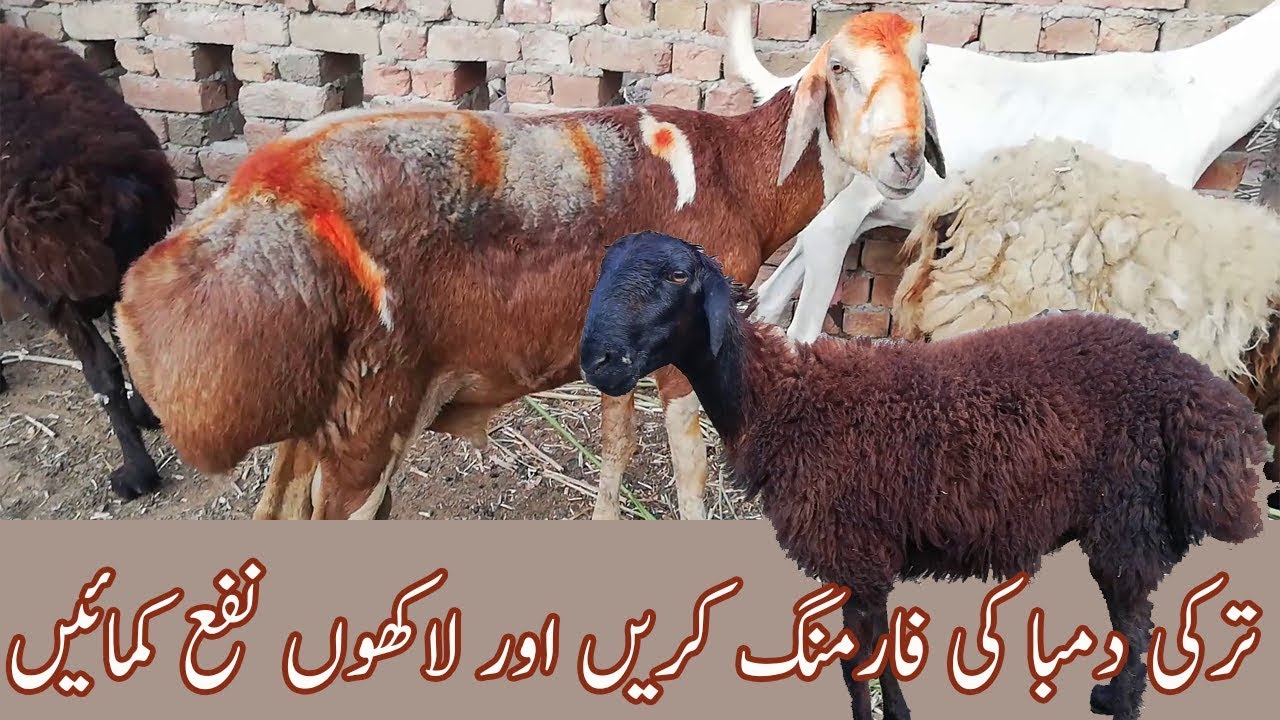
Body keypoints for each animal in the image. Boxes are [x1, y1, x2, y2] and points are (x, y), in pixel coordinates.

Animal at [116, 11, 942, 520]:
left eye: (924, 63)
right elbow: (688, 466)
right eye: (840, 69)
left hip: (316, 420)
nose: (907, 160)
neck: (735, 170)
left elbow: (616, 447)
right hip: (369, 428)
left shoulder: (616, 345)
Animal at [579, 229, 1269, 720]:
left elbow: (863, 664)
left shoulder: (857, 553)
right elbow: (864, 661)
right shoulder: (856, 562)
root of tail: (1199, 388)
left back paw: (1117, 704)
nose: (600, 360)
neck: (779, 399)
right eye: (602, 274)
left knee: (1137, 625)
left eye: (678, 276)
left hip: (1127, 517)